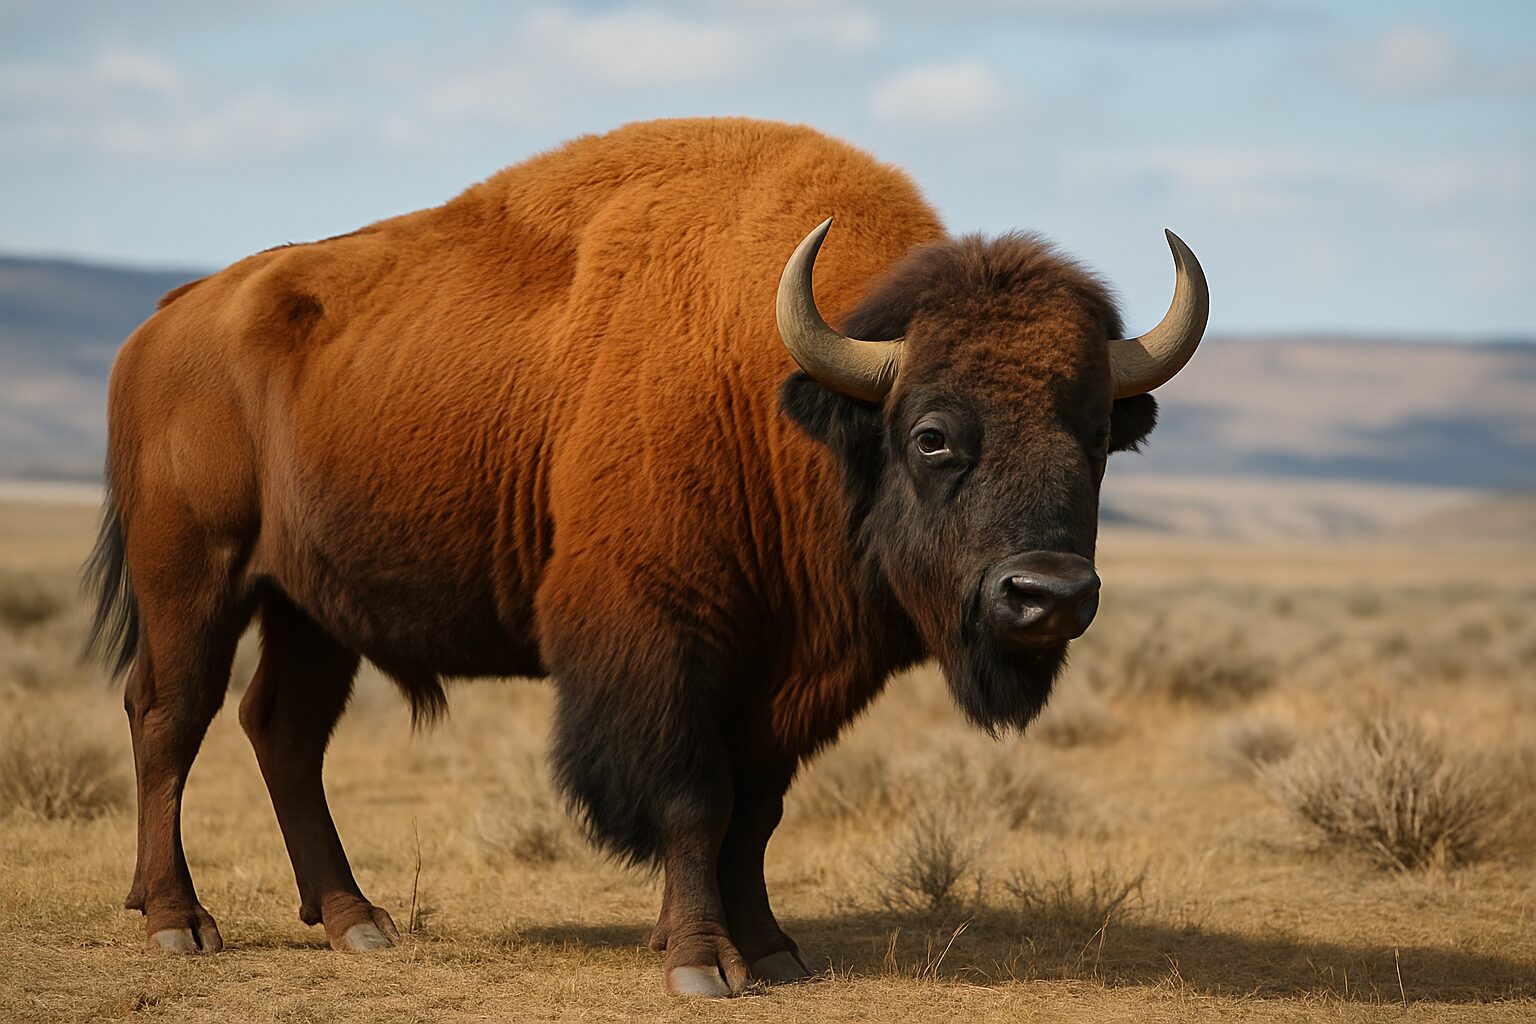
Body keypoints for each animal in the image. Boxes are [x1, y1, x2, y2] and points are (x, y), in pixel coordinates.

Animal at [87, 117, 1206, 996]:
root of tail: (165, 320)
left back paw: (356, 921)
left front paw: (774, 951)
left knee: (284, 731)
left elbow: (756, 808)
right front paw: (700, 964)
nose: (1047, 595)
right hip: (195, 578)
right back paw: (180, 924)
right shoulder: (660, 641)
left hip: (311, 610)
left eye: (1098, 436)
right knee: (168, 718)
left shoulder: (784, 678)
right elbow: (694, 797)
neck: (791, 399)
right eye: (932, 434)